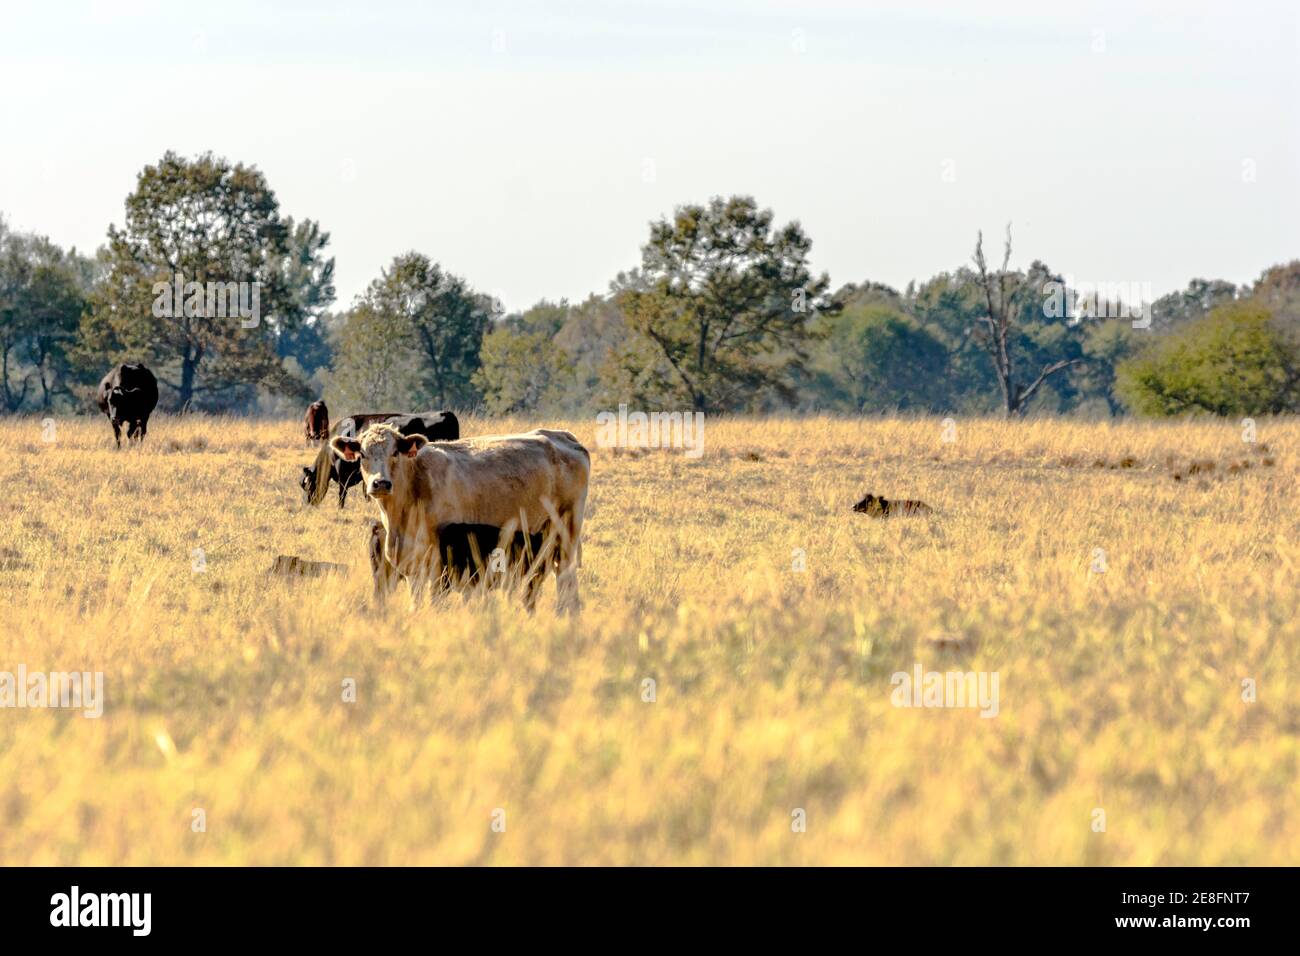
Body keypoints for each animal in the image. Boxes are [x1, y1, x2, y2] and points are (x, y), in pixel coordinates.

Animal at [302, 411, 460, 508]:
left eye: (307, 485)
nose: (309, 504)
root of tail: (446, 413)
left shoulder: (343, 473)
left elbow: (342, 493)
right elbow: (366, 492)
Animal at [336, 423, 588, 611]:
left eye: (395, 452)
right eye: (363, 454)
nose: (381, 483)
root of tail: (561, 436)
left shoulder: (441, 564)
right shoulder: (411, 564)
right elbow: (416, 600)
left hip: (567, 531)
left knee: (566, 578)